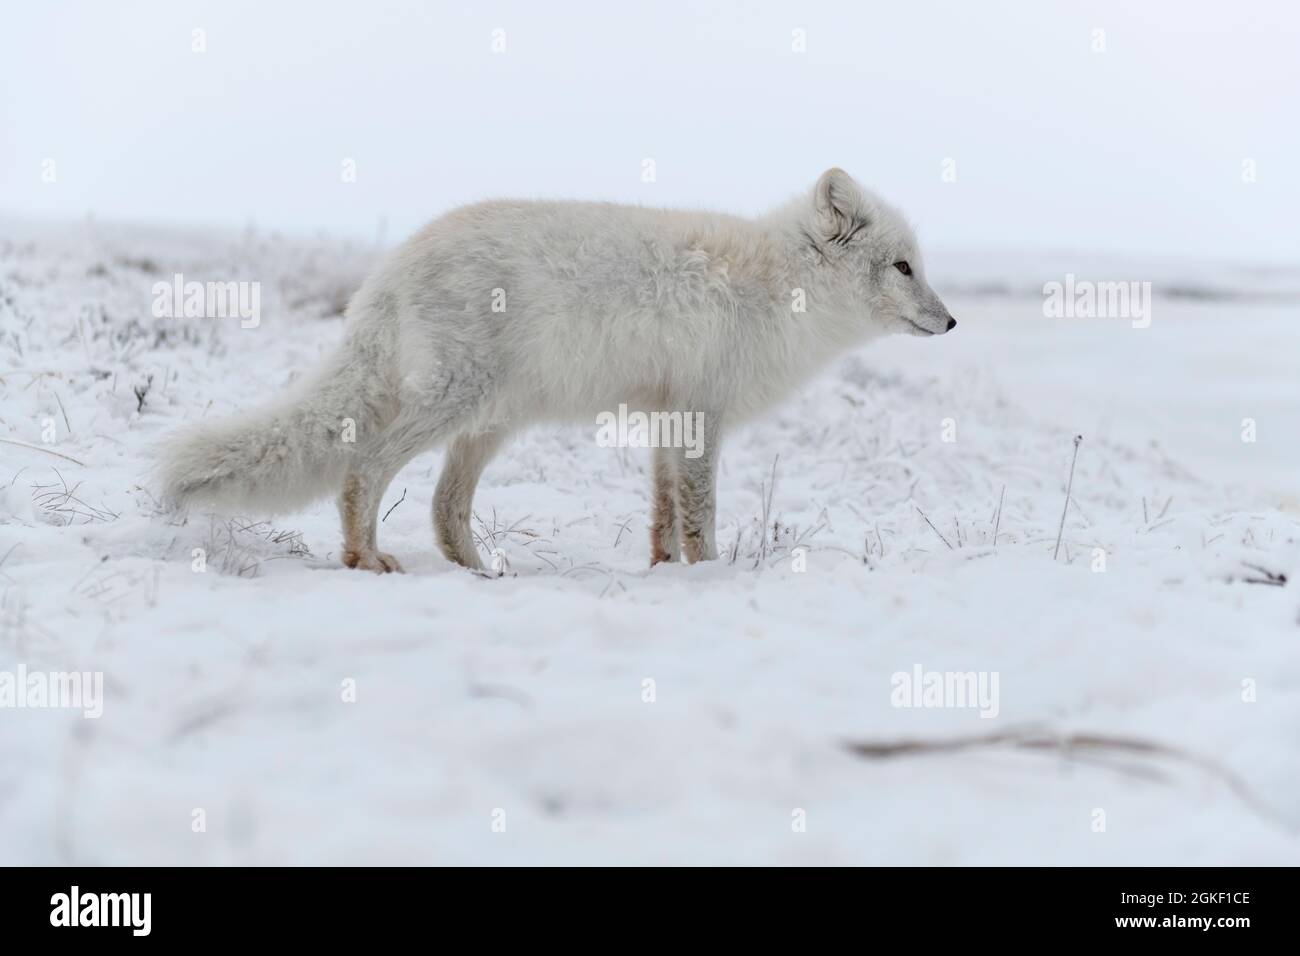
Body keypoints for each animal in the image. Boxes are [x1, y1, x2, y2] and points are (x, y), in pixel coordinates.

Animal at [160, 168, 956, 572]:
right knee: (365, 469)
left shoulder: (669, 418)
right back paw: (366, 556)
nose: (950, 323)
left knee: (444, 507)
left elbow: (663, 512)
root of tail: (391, 266)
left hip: (490, 423)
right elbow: (698, 512)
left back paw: (475, 572)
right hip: (455, 403)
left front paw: (666, 572)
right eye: (903, 268)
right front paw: (709, 576)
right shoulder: (702, 415)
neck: (778, 285)